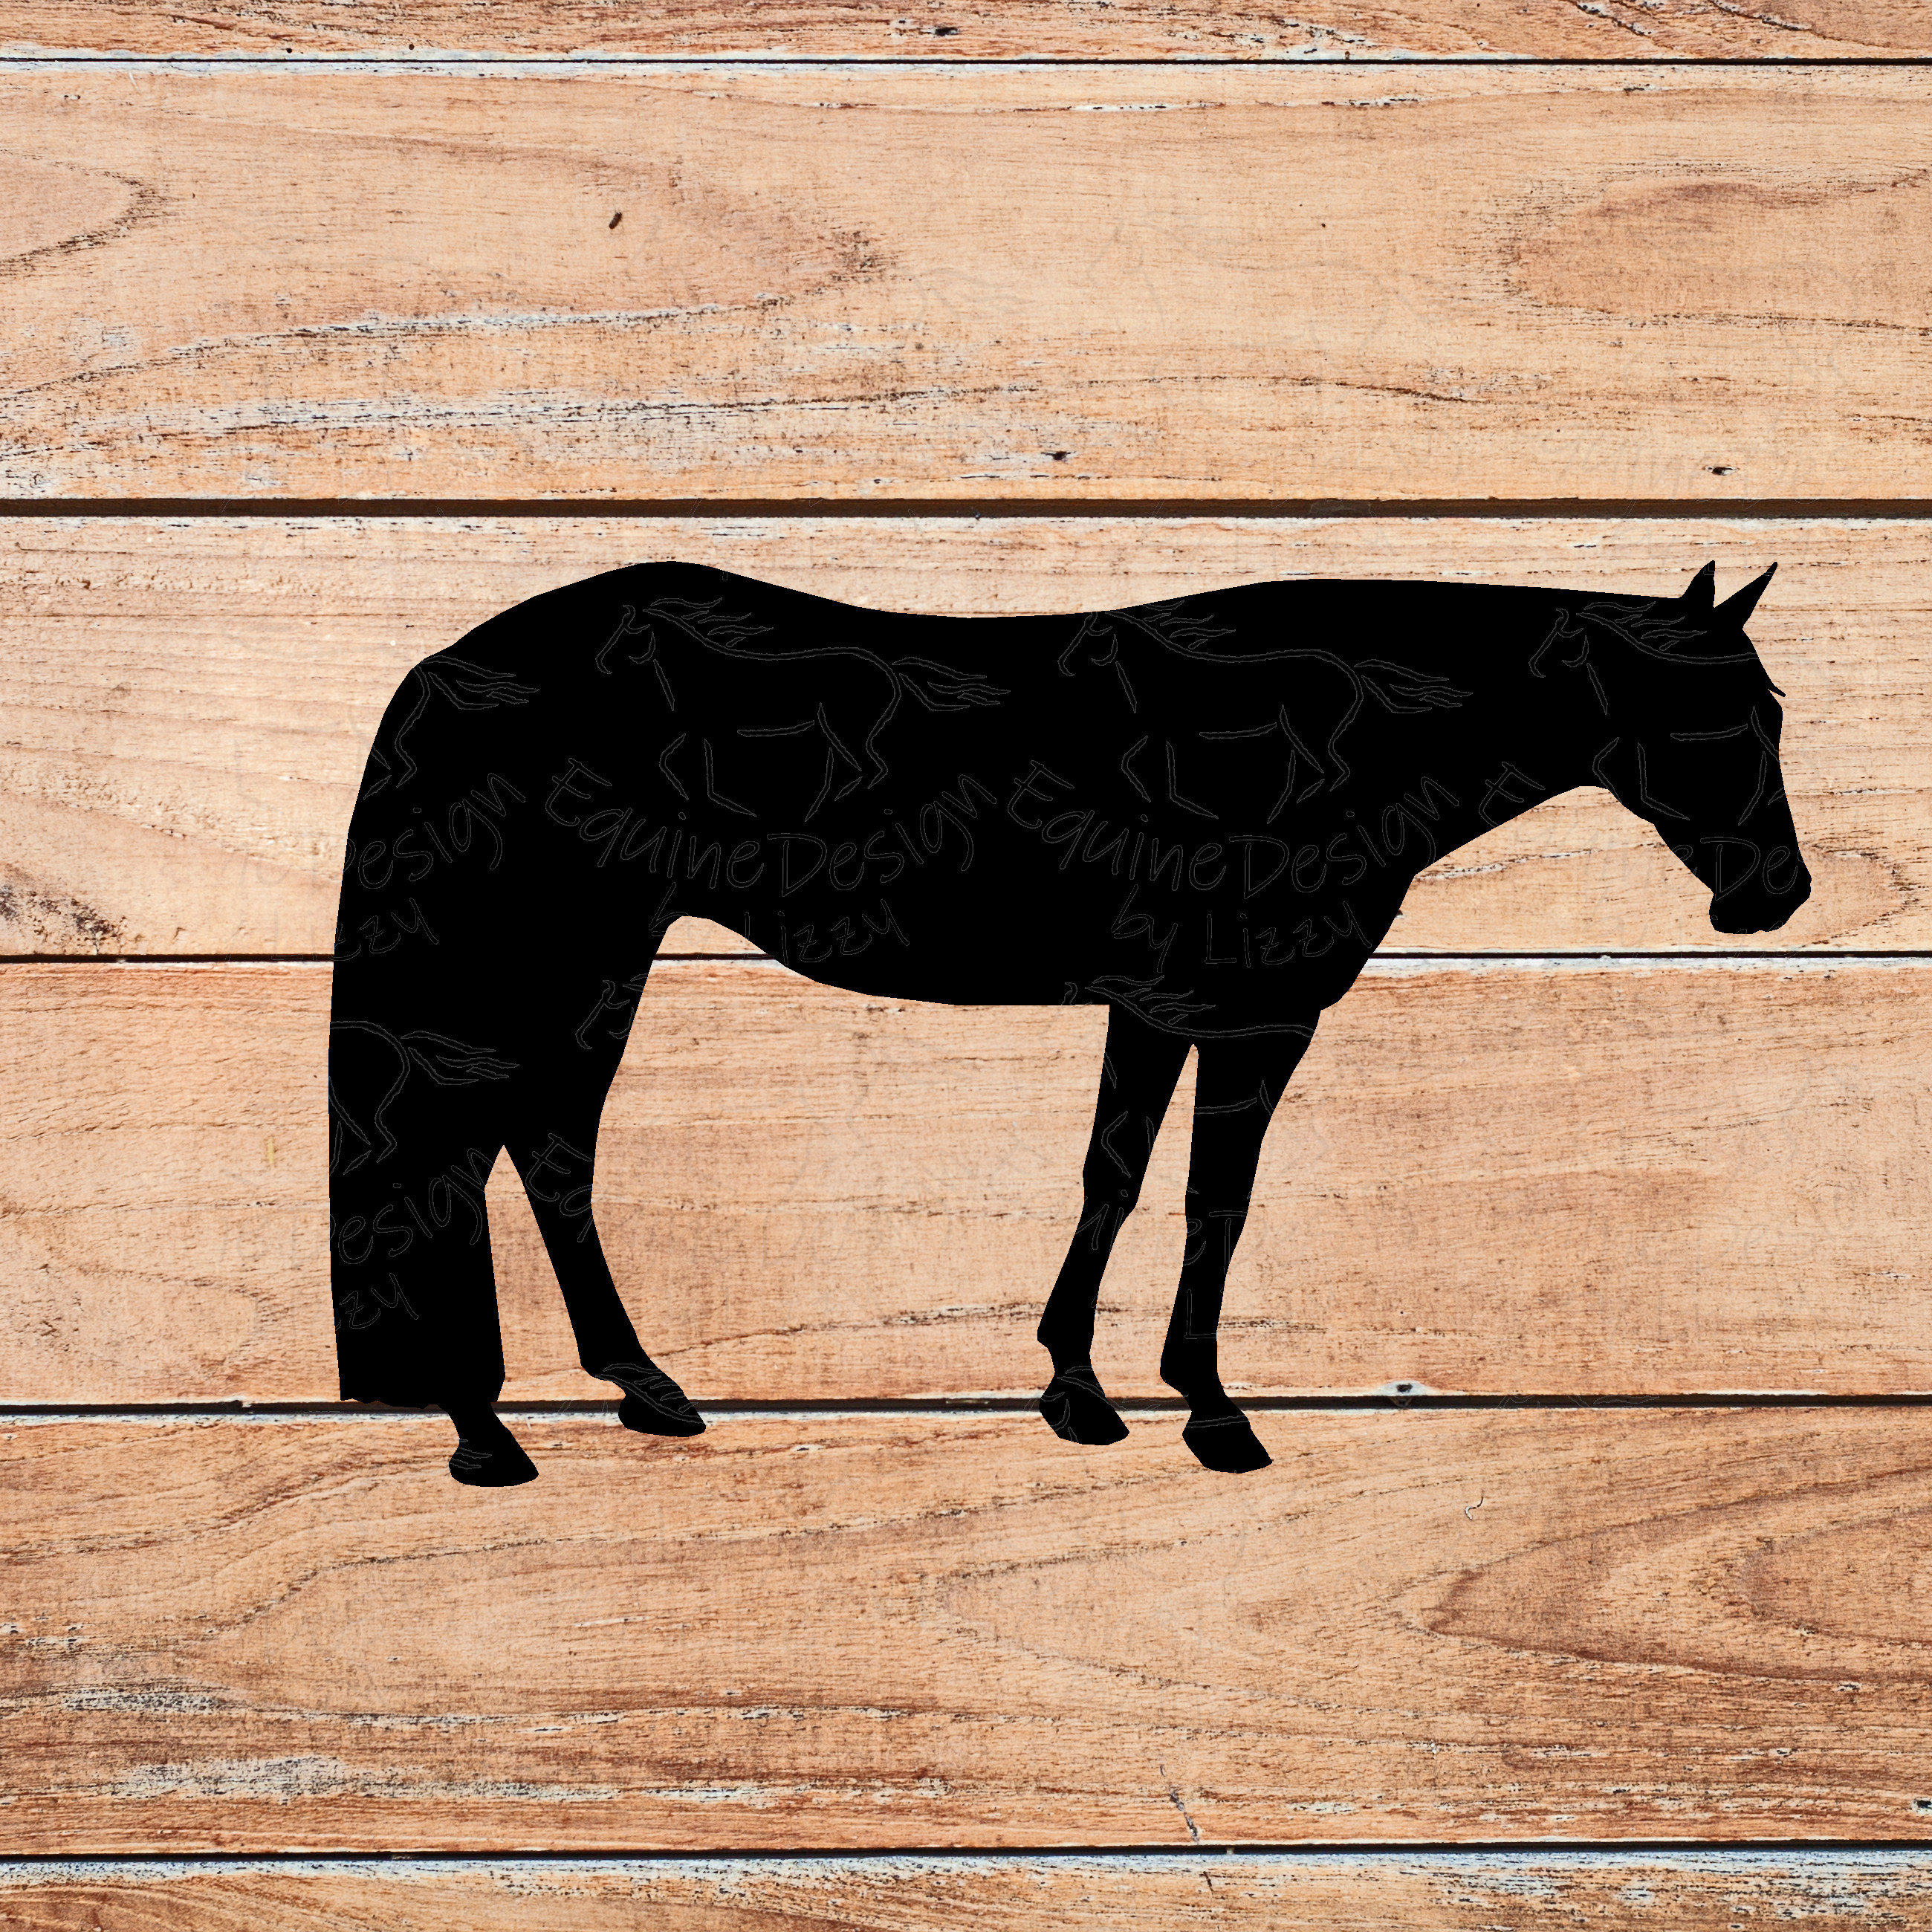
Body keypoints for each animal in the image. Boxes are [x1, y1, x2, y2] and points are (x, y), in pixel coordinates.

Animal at [327, 559, 1809, 1485]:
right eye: (1702, 717)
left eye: (1770, 711)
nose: (1773, 895)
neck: (1312, 732)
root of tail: (455, 667)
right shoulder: (1251, 1021)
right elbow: (1207, 1198)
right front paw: (1202, 1410)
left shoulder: (1168, 1009)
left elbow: (1124, 1179)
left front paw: (1084, 1388)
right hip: (542, 962)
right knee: (474, 1151)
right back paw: (488, 1430)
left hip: (594, 965)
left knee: (545, 1151)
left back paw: (636, 1389)